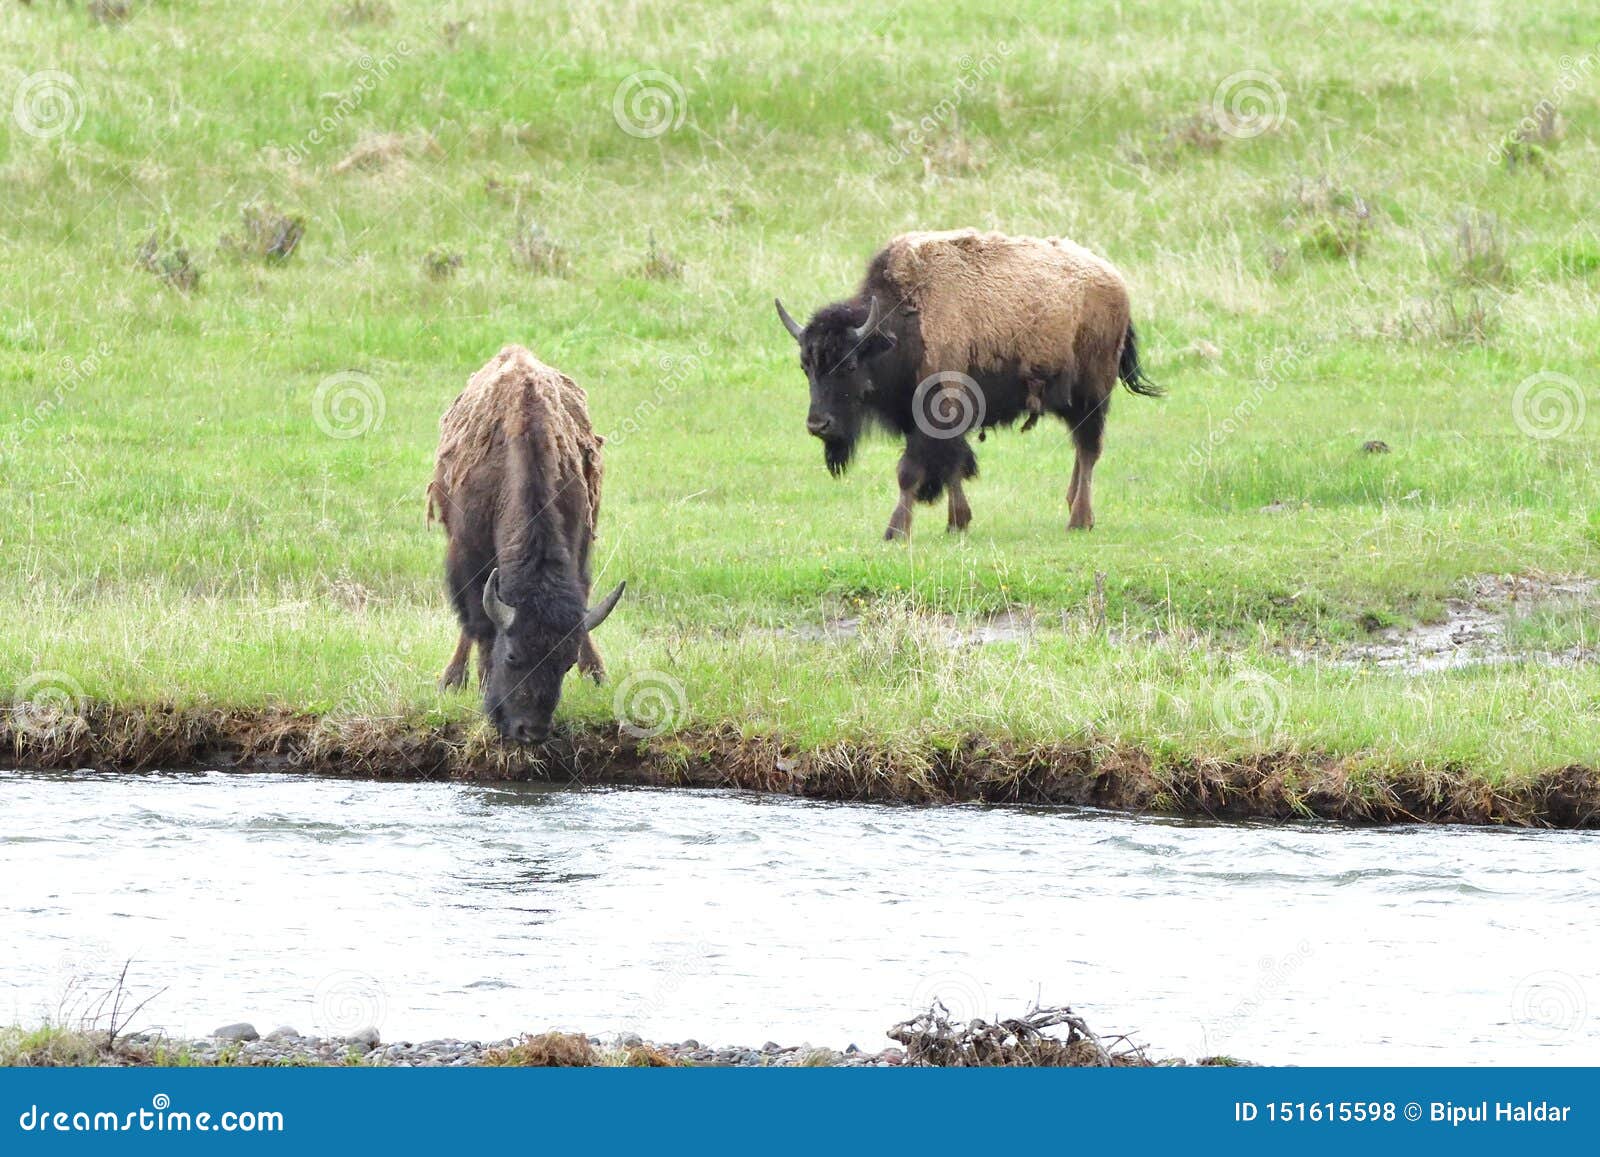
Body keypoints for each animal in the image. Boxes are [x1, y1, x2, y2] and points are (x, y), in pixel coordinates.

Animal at [427, 345, 625, 743]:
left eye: (565, 663)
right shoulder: (469, 557)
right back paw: (452, 680)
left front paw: (593, 672)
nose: (530, 731)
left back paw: (597, 674)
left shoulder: (578, 544)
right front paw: (481, 688)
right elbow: (480, 626)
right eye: (513, 657)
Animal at [776, 228, 1160, 538]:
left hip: (1092, 395)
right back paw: (1075, 509)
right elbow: (953, 467)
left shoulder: (935, 415)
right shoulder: (931, 419)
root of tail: (1113, 280)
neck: (905, 324)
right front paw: (956, 522)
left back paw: (1078, 520)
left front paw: (895, 531)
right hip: (1070, 401)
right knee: (1081, 451)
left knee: (1088, 449)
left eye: (850, 363)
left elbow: (910, 471)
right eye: (805, 366)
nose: (818, 424)